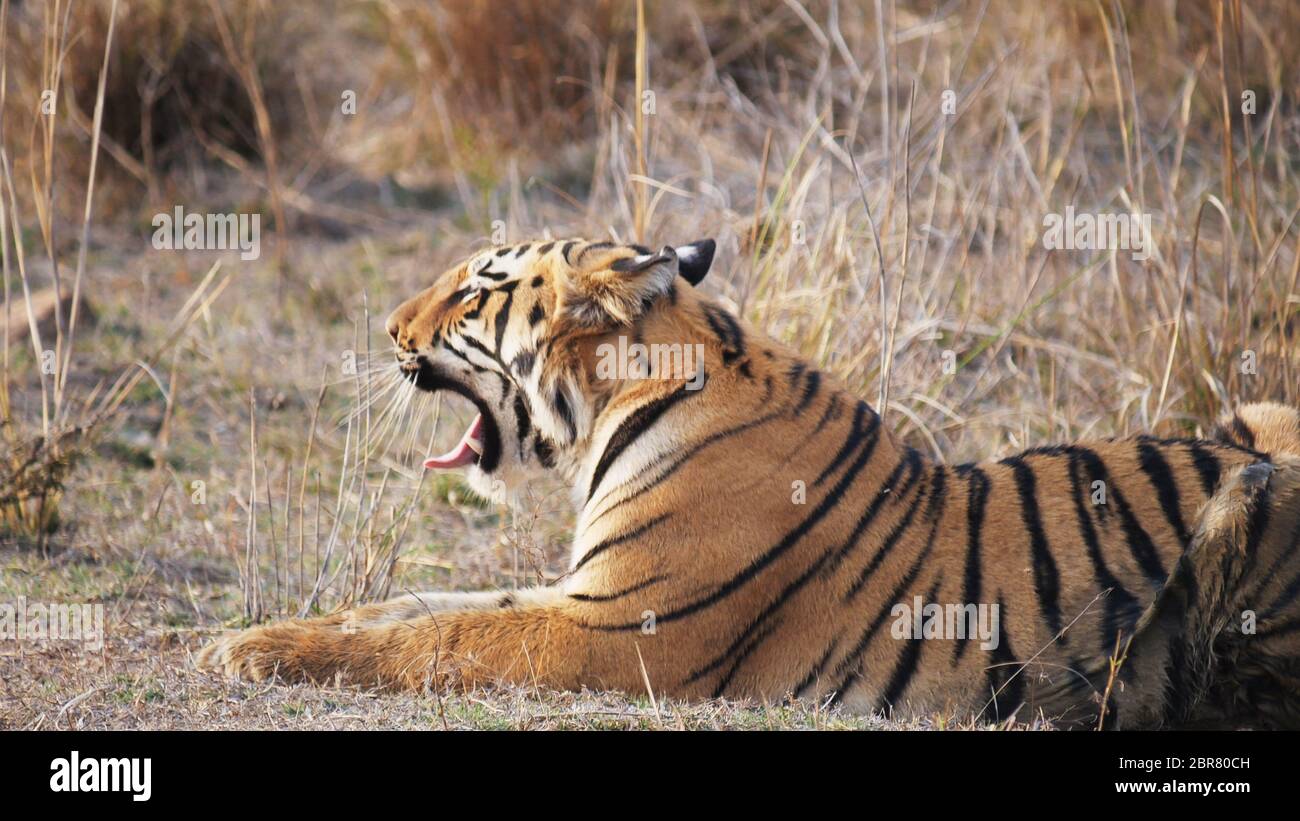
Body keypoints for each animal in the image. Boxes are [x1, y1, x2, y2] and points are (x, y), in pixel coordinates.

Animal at [197, 237, 1300, 728]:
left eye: (474, 291)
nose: (387, 328)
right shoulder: (577, 590)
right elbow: (410, 608)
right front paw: (250, 637)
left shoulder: (616, 625)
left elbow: (443, 637)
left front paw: (246, 653)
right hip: (1259, 420)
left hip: (1248, 491)